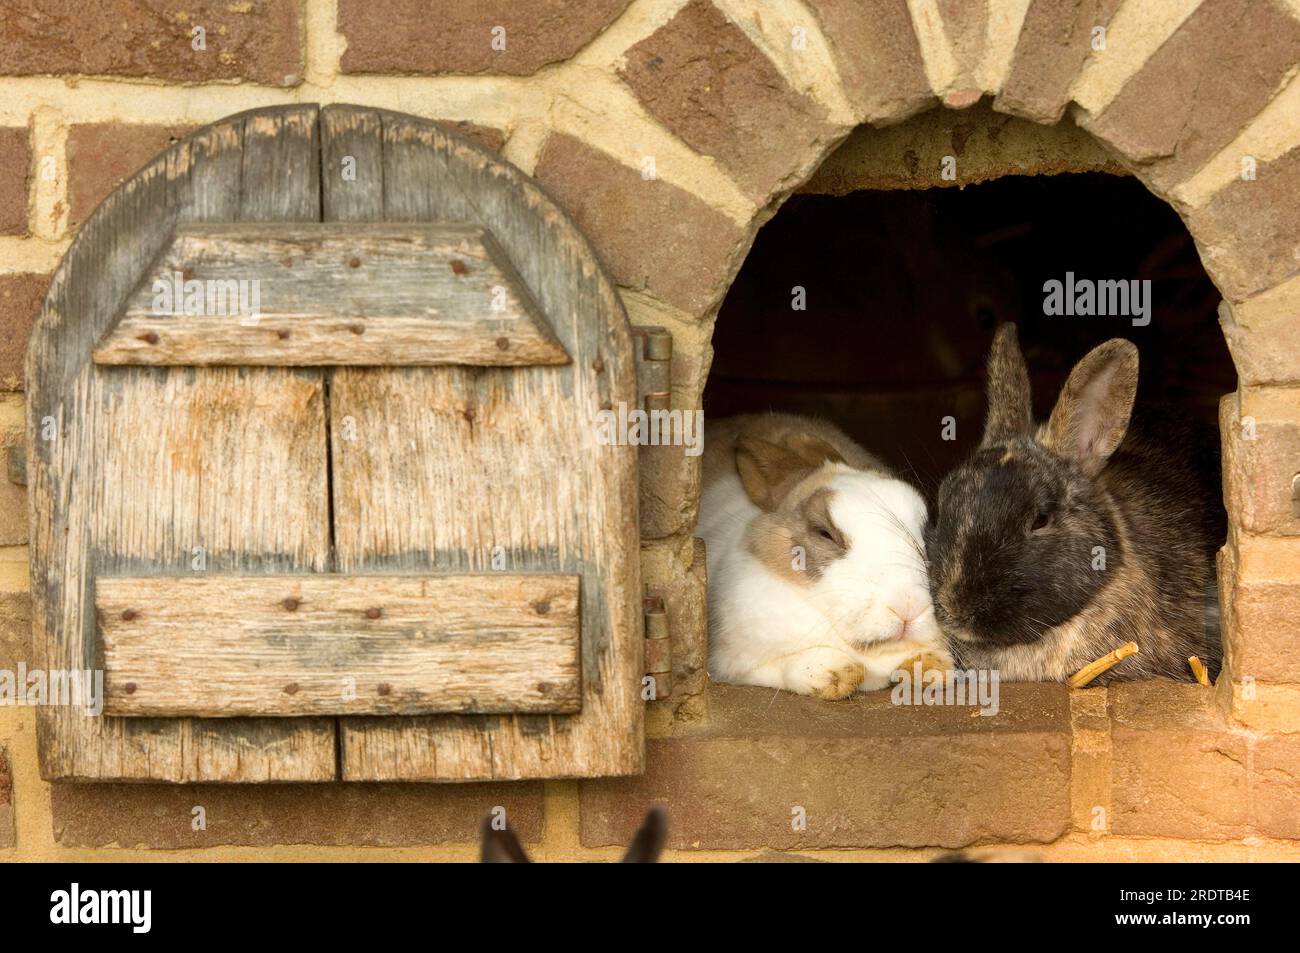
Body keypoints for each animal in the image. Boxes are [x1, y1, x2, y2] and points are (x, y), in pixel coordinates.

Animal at [699, 413, 951, 699]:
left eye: (927, 528)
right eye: (825, 533)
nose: (910, 605)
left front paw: (933, 665)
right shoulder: (732, 663)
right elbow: (781, 669)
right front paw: (836, 672)